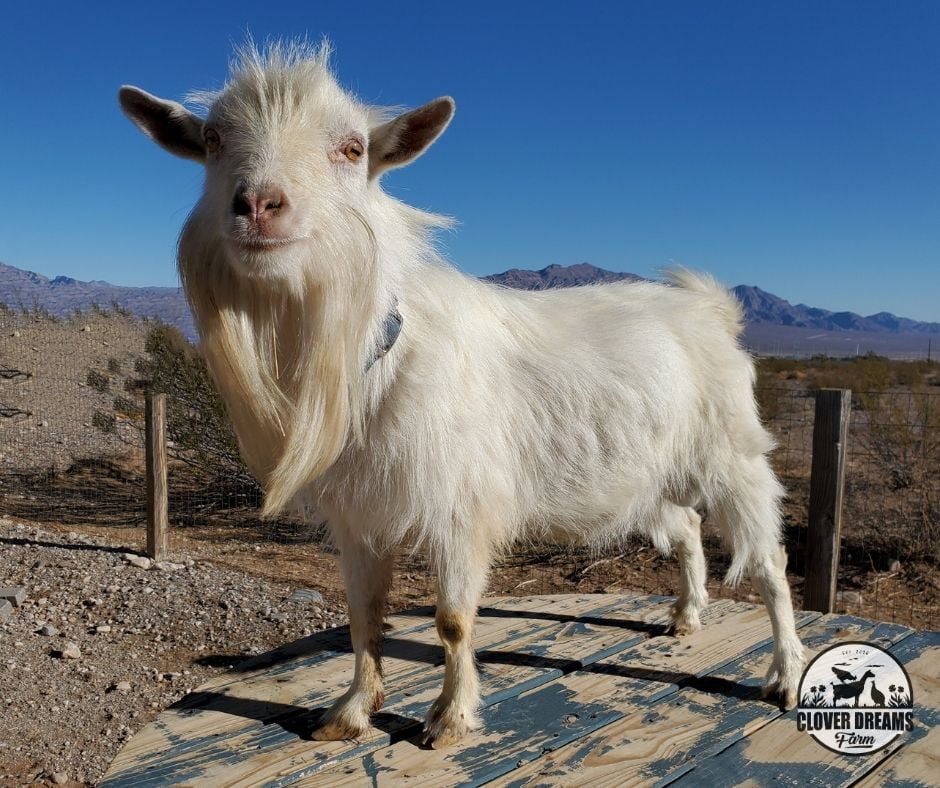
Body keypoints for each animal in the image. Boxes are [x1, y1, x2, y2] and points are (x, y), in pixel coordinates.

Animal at [119, 40, 805, 748]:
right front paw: (352, 709)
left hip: (733, 455)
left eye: (352, 149)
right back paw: (687, 616)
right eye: (212, 139)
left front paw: (449, 718)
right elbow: (363, 615)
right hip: (650, 473)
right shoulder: (358, 516)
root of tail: (712, 311)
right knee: (690, 527)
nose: (257, 203)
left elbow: (452, 619)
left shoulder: (459, 508)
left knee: (771, 561)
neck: (378, 359)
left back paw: (784, 673)